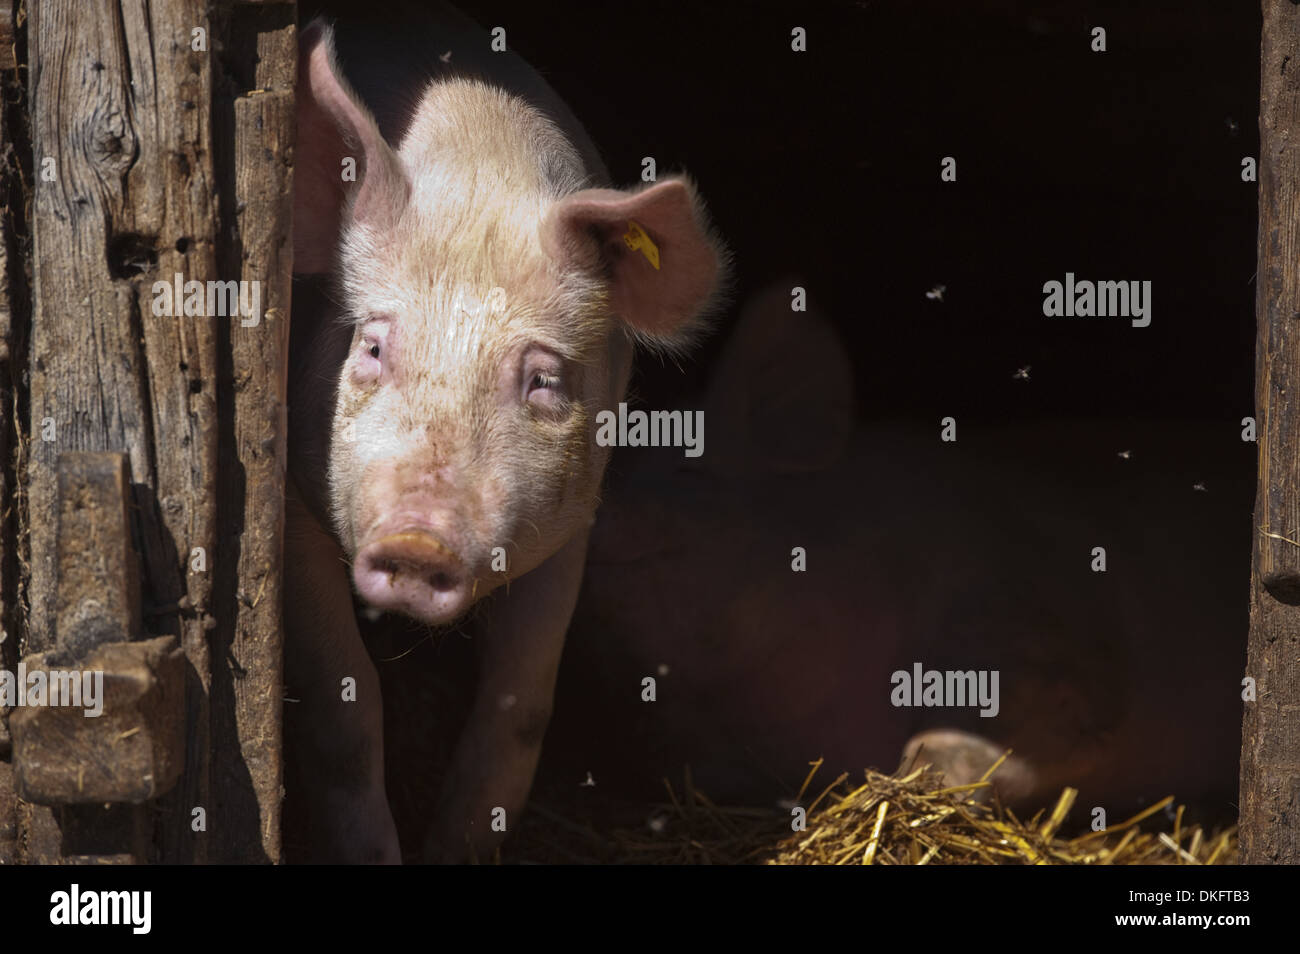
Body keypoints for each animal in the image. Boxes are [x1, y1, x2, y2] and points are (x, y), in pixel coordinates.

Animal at [285, 5, 727, 863]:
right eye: (372, 345)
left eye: (544, 380)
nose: (417, 541)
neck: (480, 165)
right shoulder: (292, 500)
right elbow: (341, 712)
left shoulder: (570, 524)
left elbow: (520, 707)